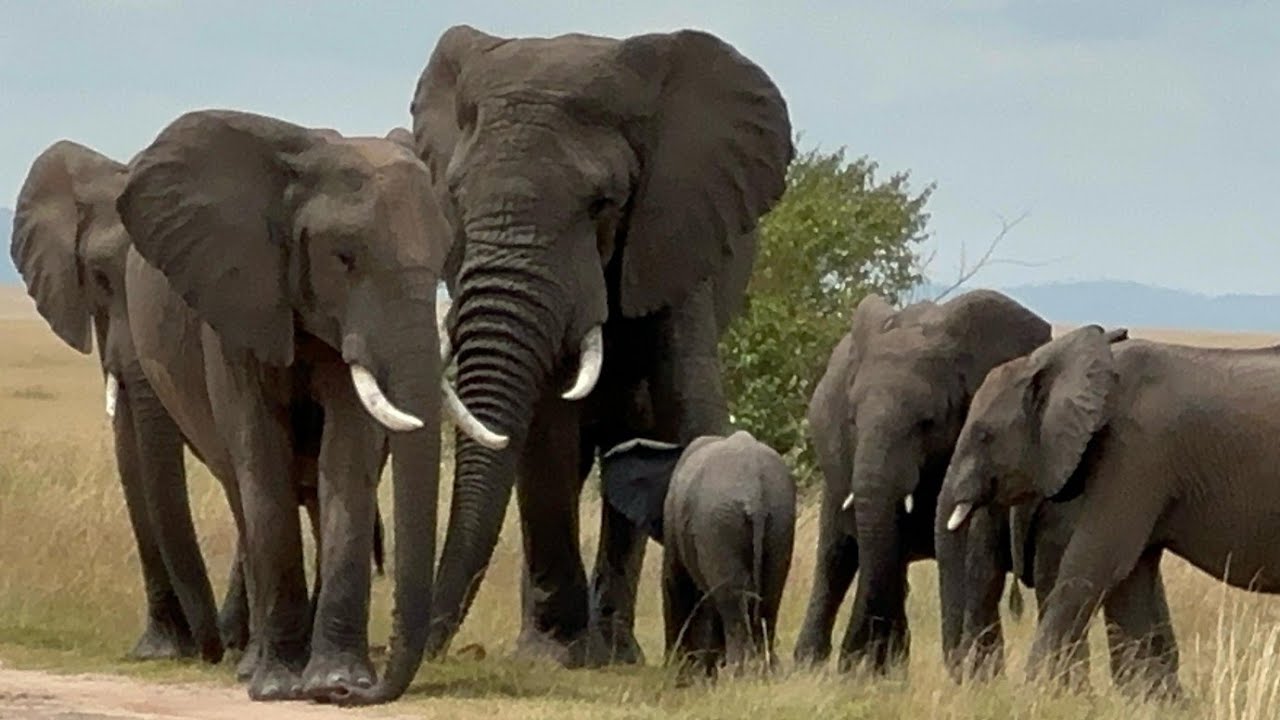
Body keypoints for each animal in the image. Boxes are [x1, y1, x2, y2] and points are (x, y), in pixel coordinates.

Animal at [115, 110, 503, 703]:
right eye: (343, 258)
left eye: (445, 258)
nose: (354, 696)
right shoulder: (239, 301)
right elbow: (261, 459)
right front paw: (279, 688)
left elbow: (346, 459)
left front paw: (334, 680)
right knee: (243, 494)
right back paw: (253, 668)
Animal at [599, 431, 796, 677]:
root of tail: (756, 493)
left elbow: (674, 584)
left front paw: (677, 668)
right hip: (779, 521)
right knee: (769, 596)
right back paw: (765, 672)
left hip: (718, 525)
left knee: (731, 598)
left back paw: (736, 672)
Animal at [792, 289, 1052, 676]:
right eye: (852, 420)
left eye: (927, 423)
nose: (850, 661)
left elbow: (973, 548)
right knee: (837, 556)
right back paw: (814, 665)